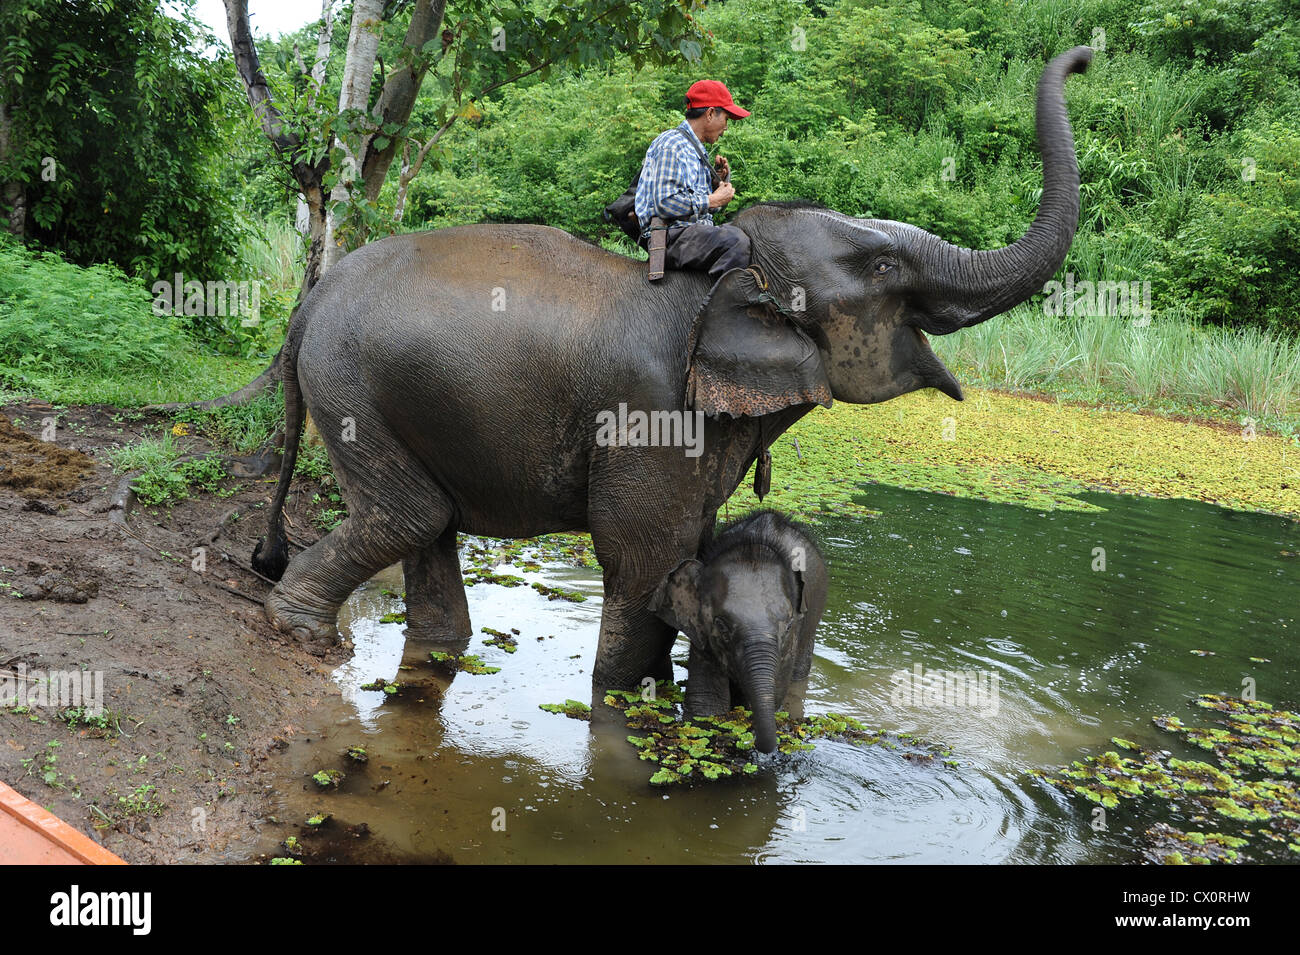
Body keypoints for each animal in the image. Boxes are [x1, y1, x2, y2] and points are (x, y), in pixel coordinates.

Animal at [253, 47, 1092, 700]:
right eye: (883, 267)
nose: (1084, 58)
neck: (720, 281)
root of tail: (313, 297)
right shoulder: (651, 412)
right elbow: (643, 558)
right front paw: (628, 696)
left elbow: (690, 548)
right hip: (350, 388)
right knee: (412, 515)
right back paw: (305, 635)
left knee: (430, 521)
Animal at [649, 510, 827, 753]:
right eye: (721, 625)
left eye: (789, 625)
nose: (752, 743)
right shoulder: (702, 635)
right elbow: (707, 703)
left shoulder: (792, 640)